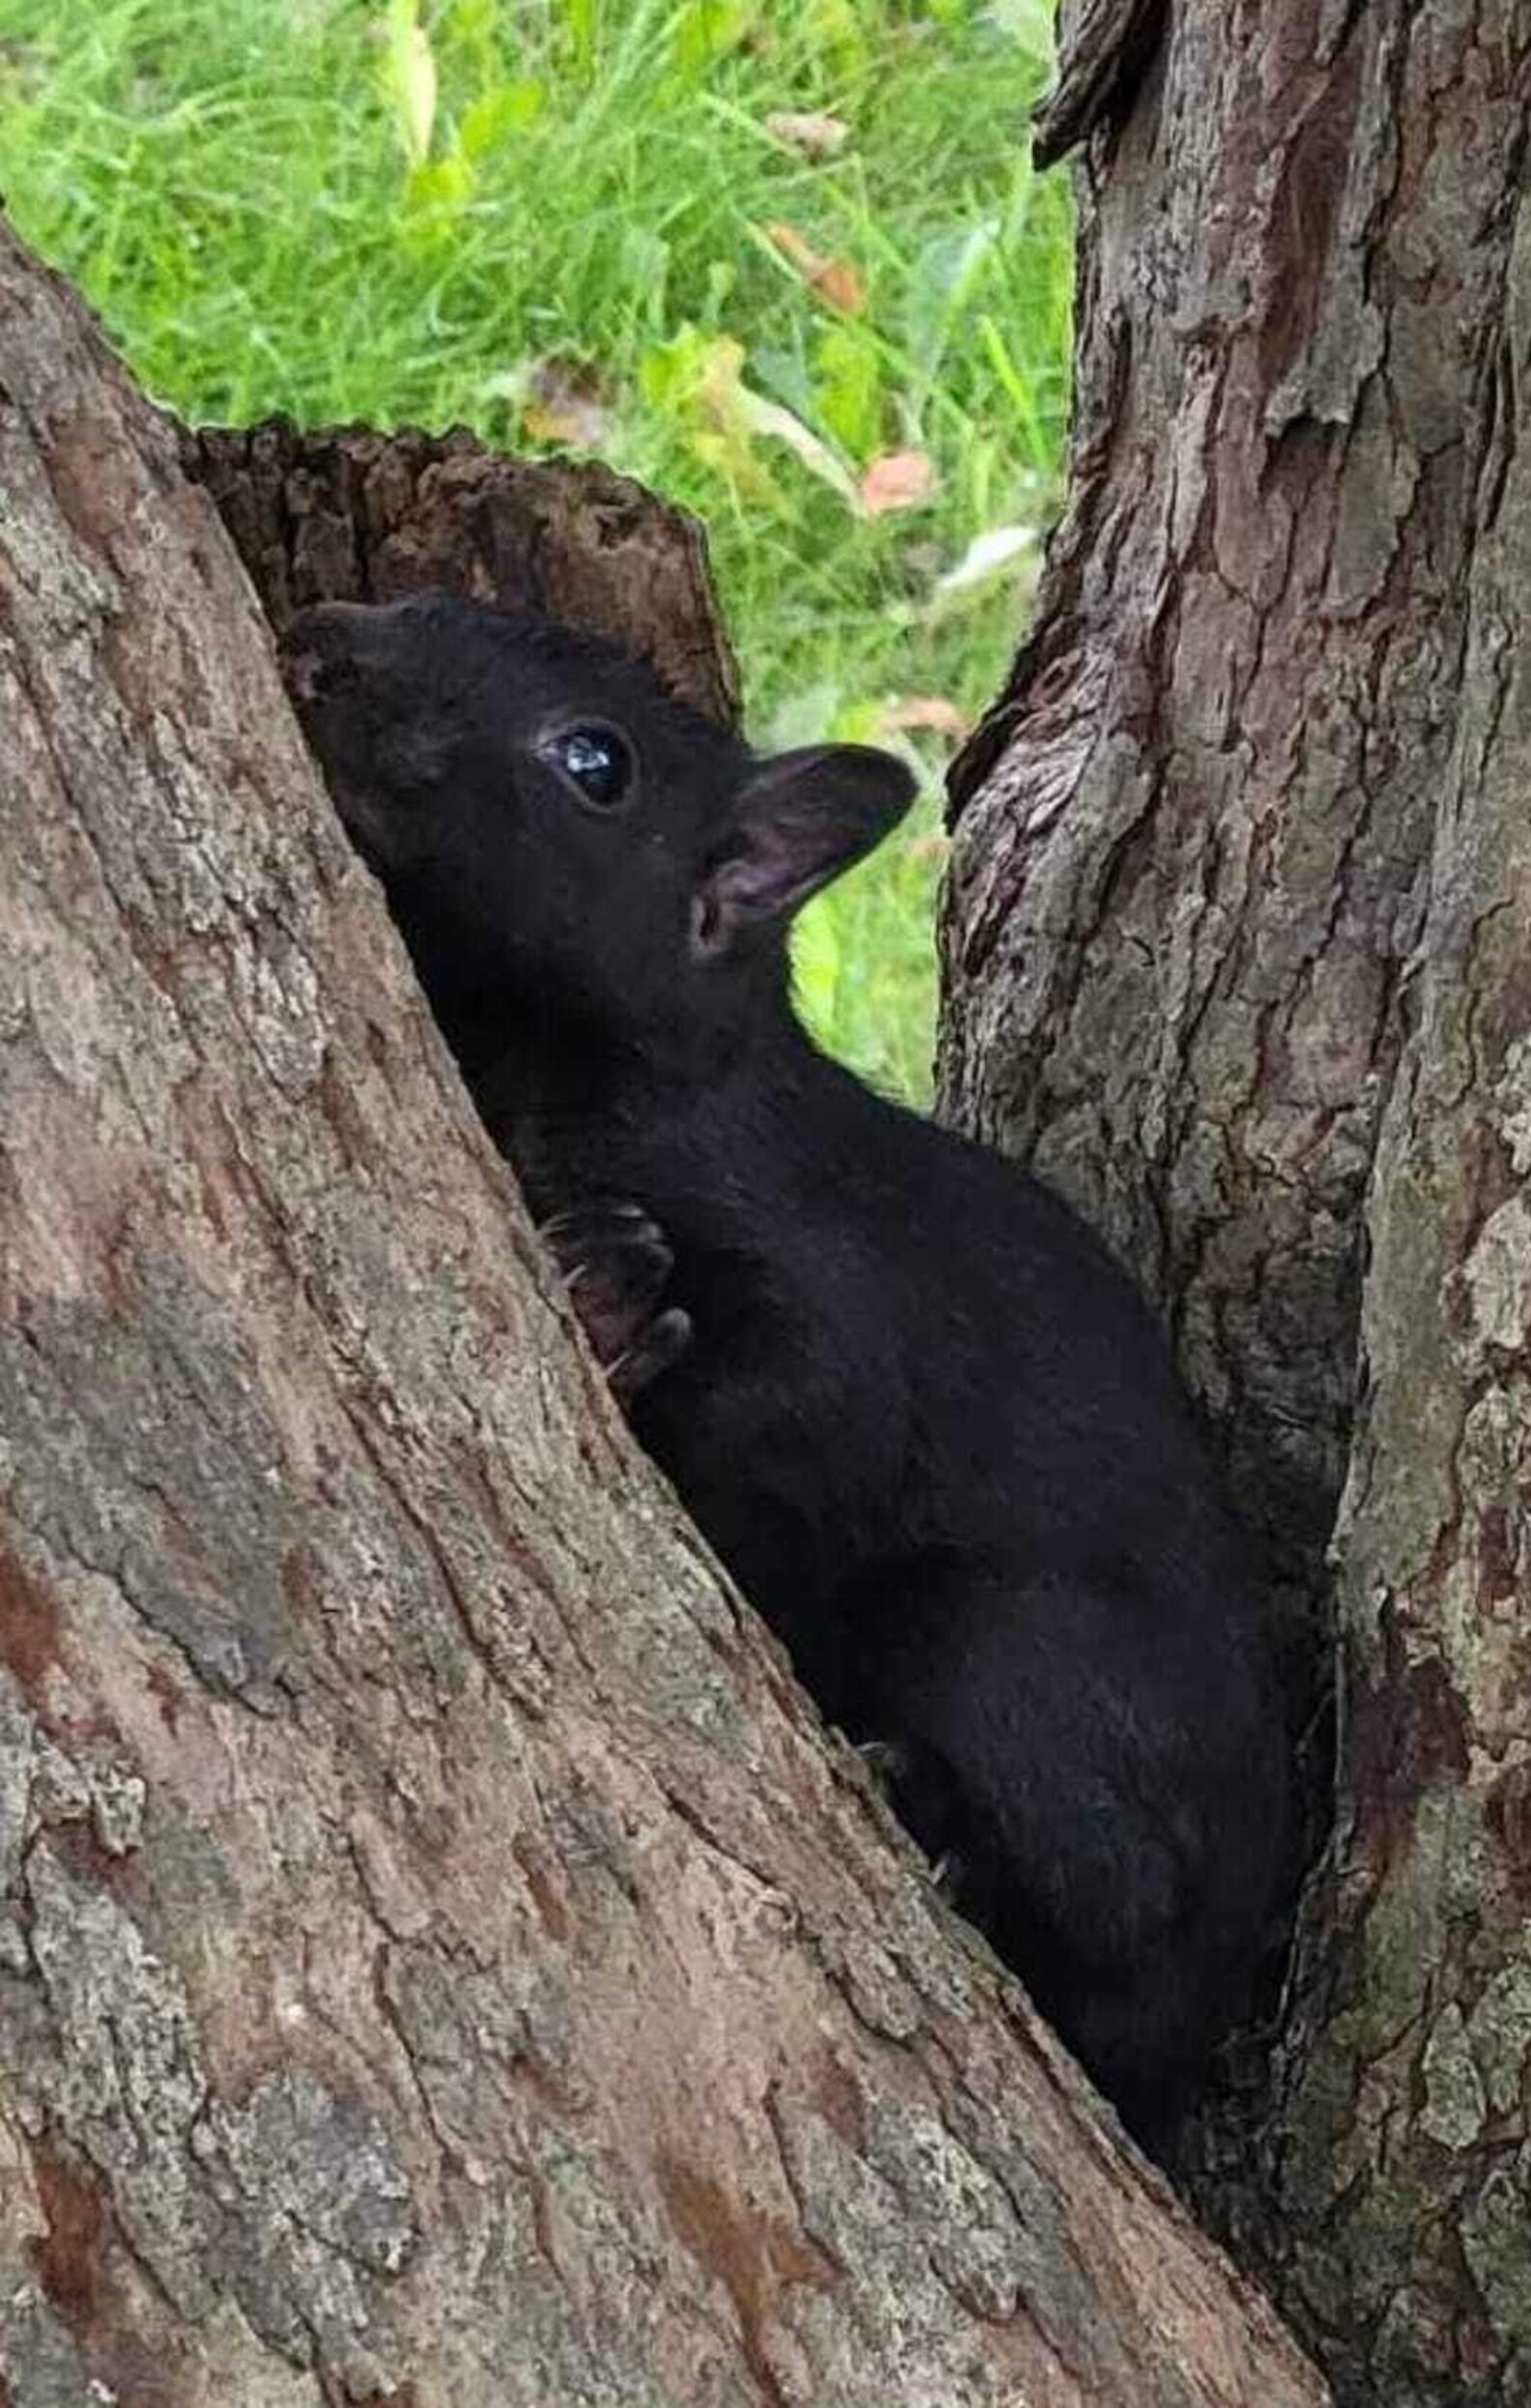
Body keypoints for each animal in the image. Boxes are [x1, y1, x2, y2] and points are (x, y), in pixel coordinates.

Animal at [284, 591, 1297, 2151]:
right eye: (435, 600)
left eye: (594, 764)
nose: (328, 644)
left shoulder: (823, 1285)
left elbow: (803, 1422)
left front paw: (608, 1312)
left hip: (1012, 1653)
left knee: (1101, 1890)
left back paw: (940, 1824)